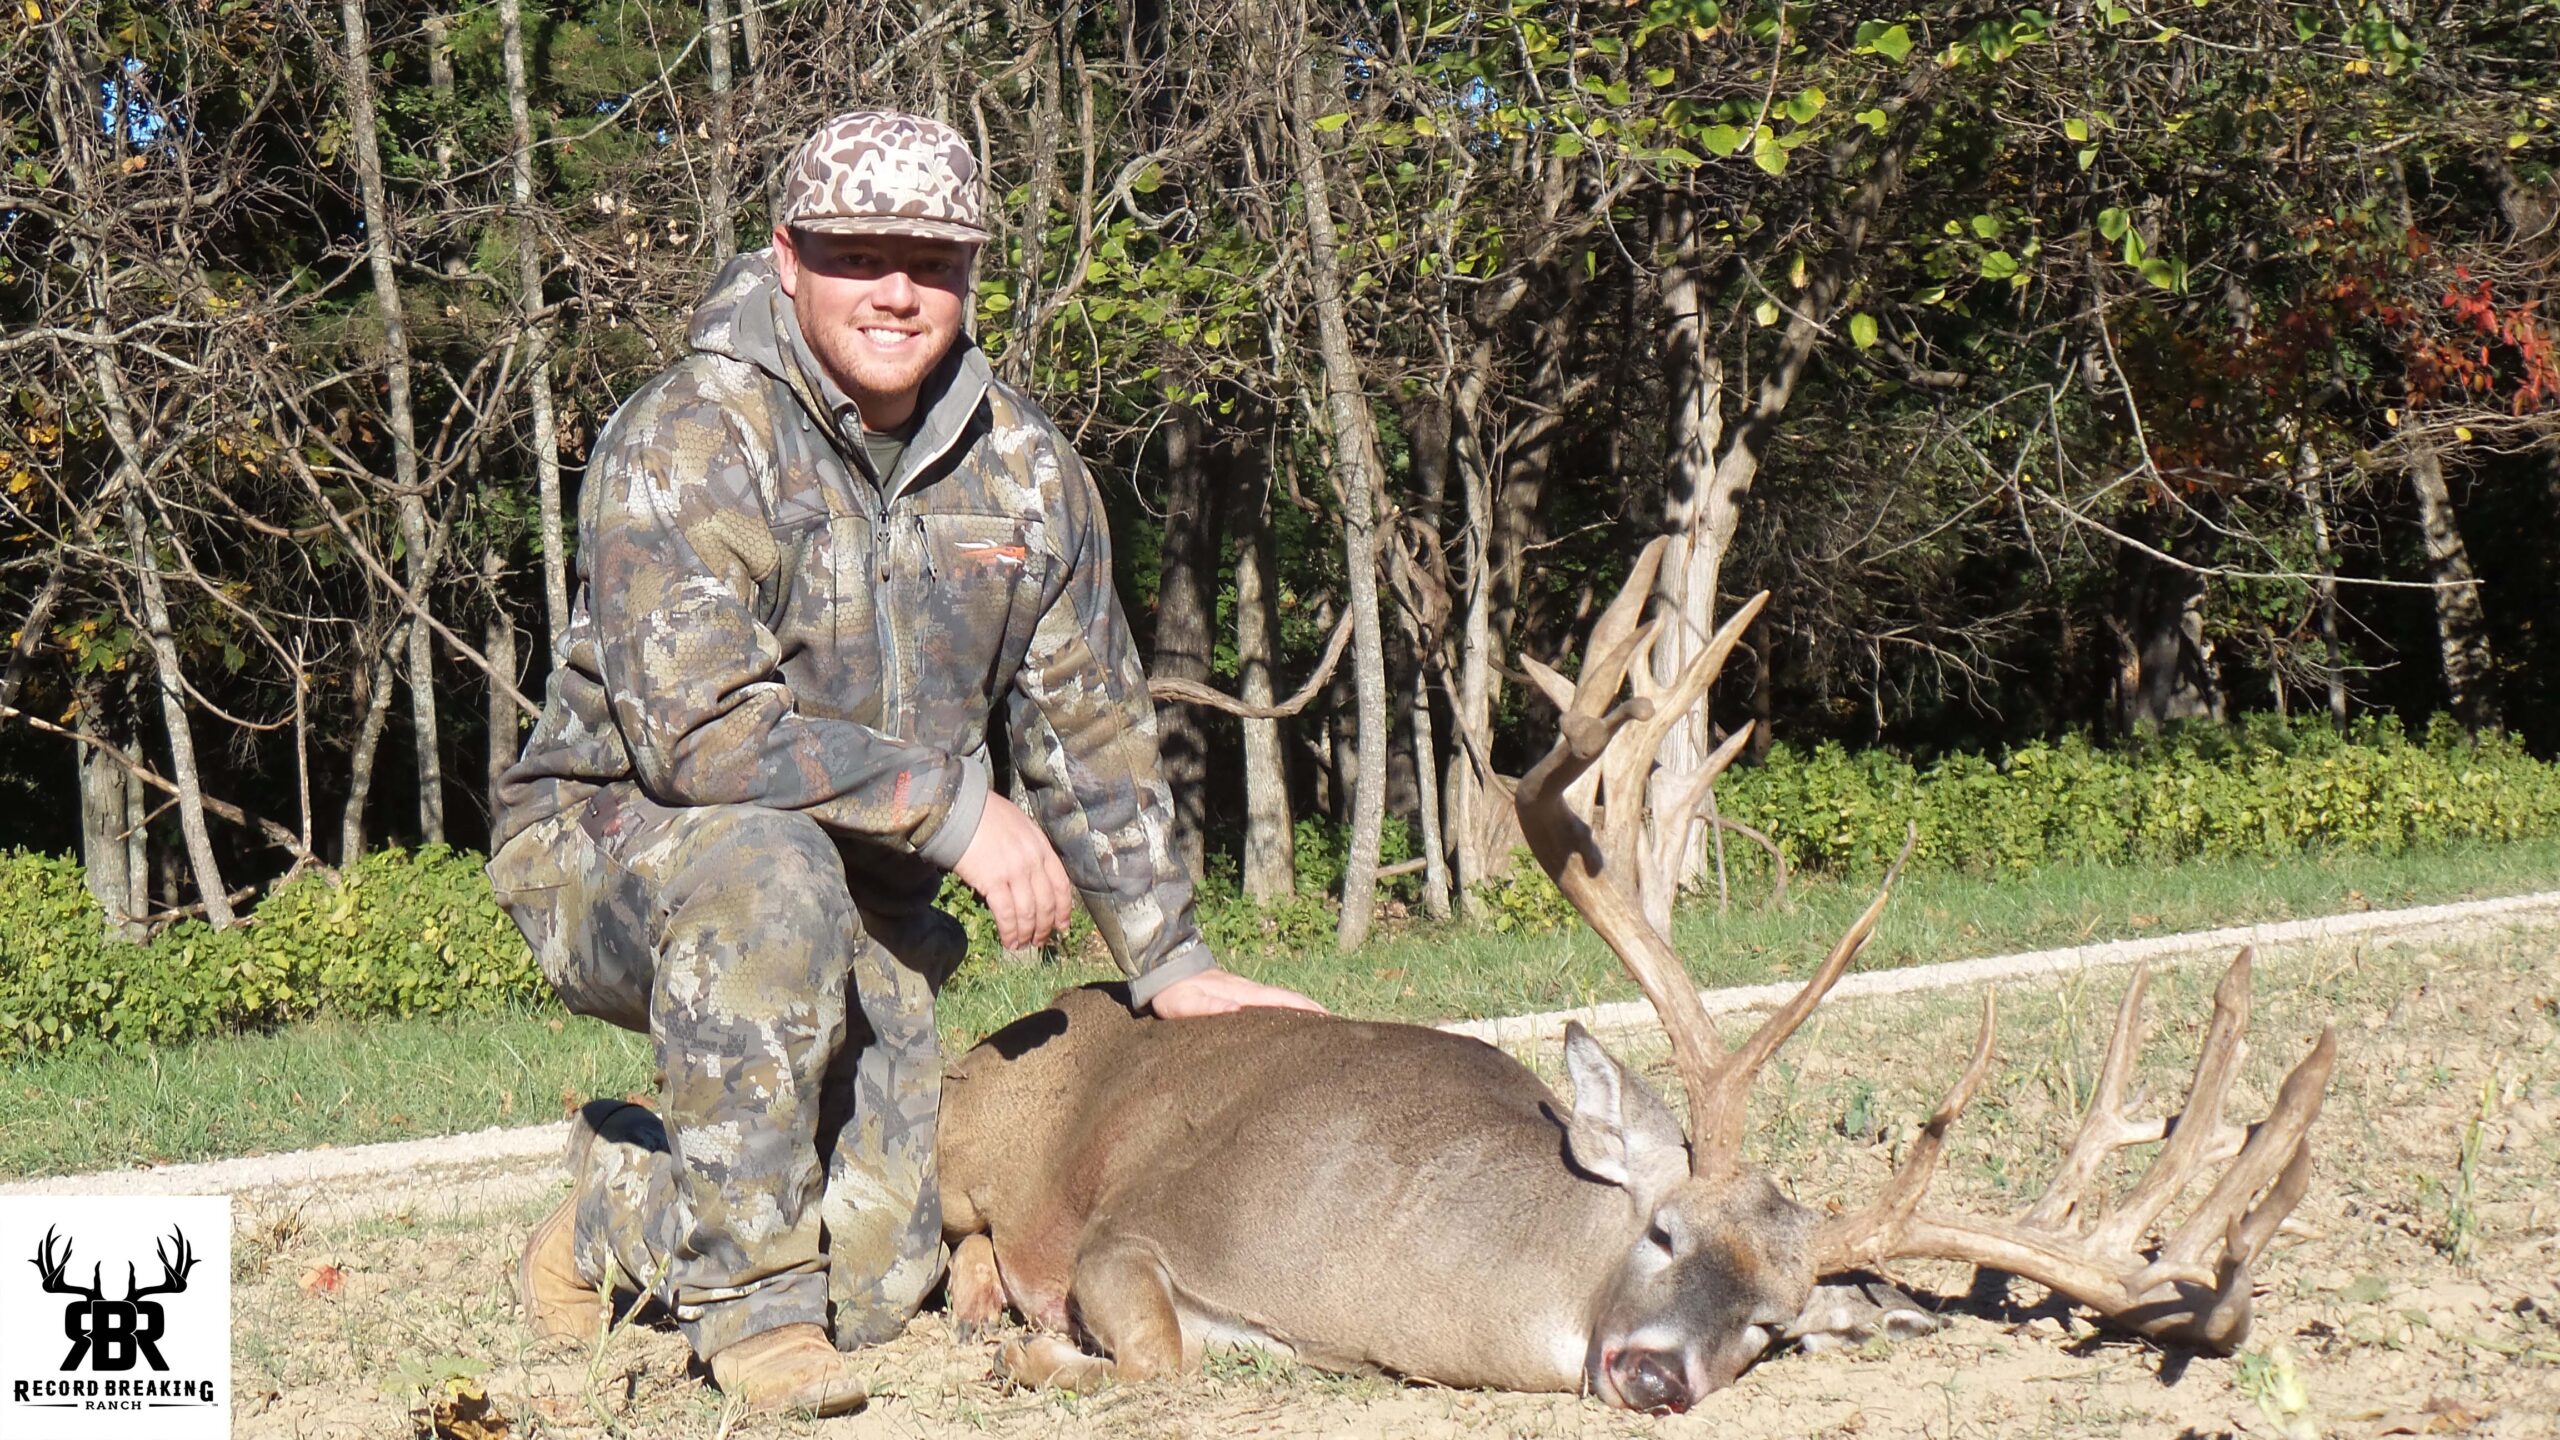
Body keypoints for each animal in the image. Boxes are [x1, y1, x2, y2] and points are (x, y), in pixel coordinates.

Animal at [935, 541, 2337, 1412]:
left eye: (1774, 1327)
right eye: (1661, 1232)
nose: (1660, 1375)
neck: (1376, 1285)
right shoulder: (1137, 1229)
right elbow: (1154, 1351)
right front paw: (1036, 1360)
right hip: (961, 1143)